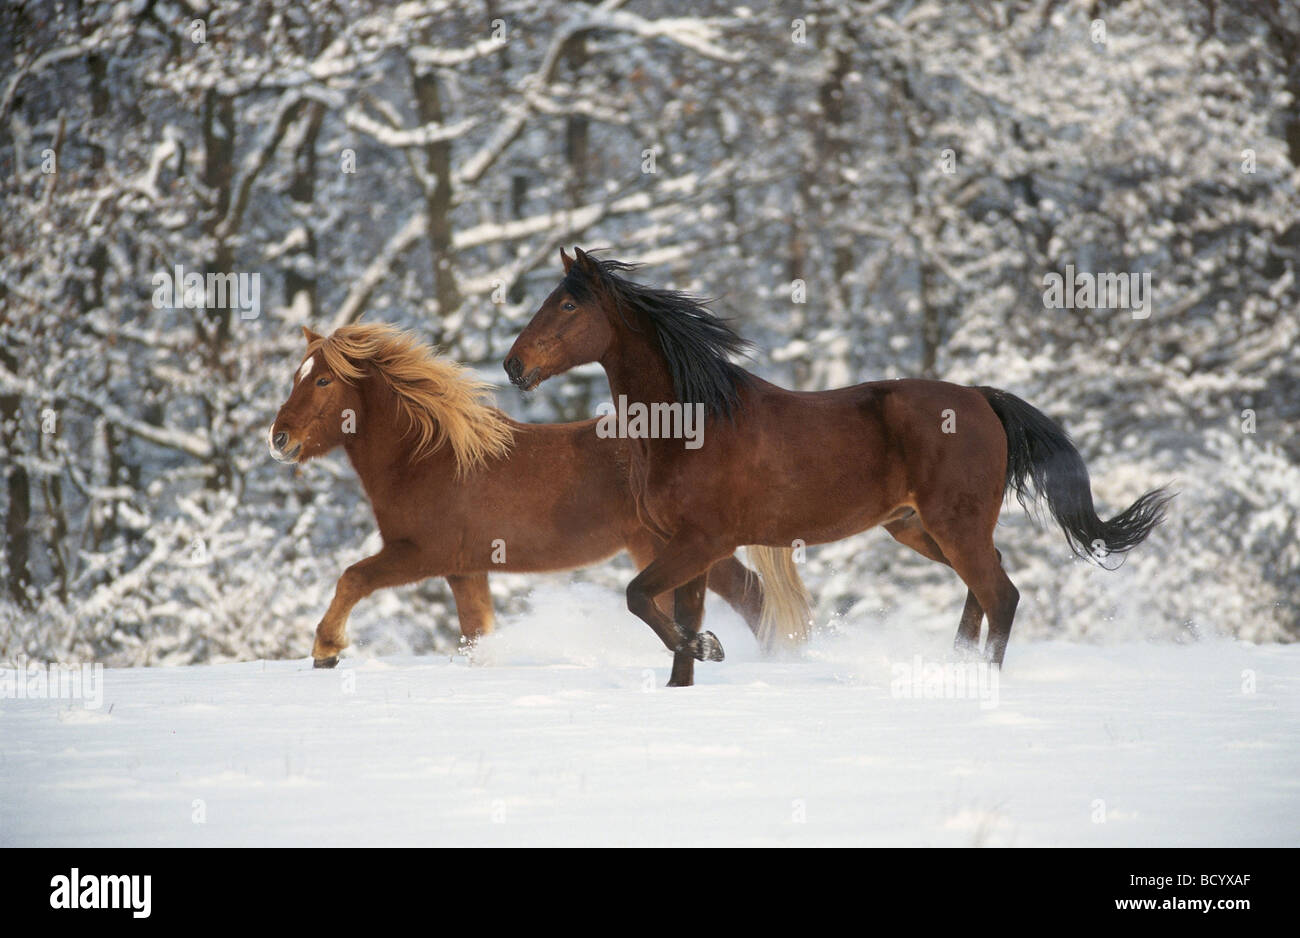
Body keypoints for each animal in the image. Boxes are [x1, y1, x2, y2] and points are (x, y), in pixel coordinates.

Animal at [268, 322, 811, 669]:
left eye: (322, 379)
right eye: (295, 376)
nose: (279, 438)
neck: (427, 458)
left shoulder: (420, 553)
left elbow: (353, 578)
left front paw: (326, 650)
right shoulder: (464, 570)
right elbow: (476, 633)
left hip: (688, 546)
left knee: (753, 596)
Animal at [503, 248, 1172, 686]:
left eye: (567, 304)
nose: (513, 365)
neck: (692, 422)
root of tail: (982, 398)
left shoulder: (702, 541)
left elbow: (641, 599)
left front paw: (711, 649)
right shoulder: (683, 545)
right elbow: (675, 617)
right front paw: (687, 676)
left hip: (952, 526)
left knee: (1002, 594)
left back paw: (979, 681)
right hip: (918, 528)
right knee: (987, 585)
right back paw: (953, 665)